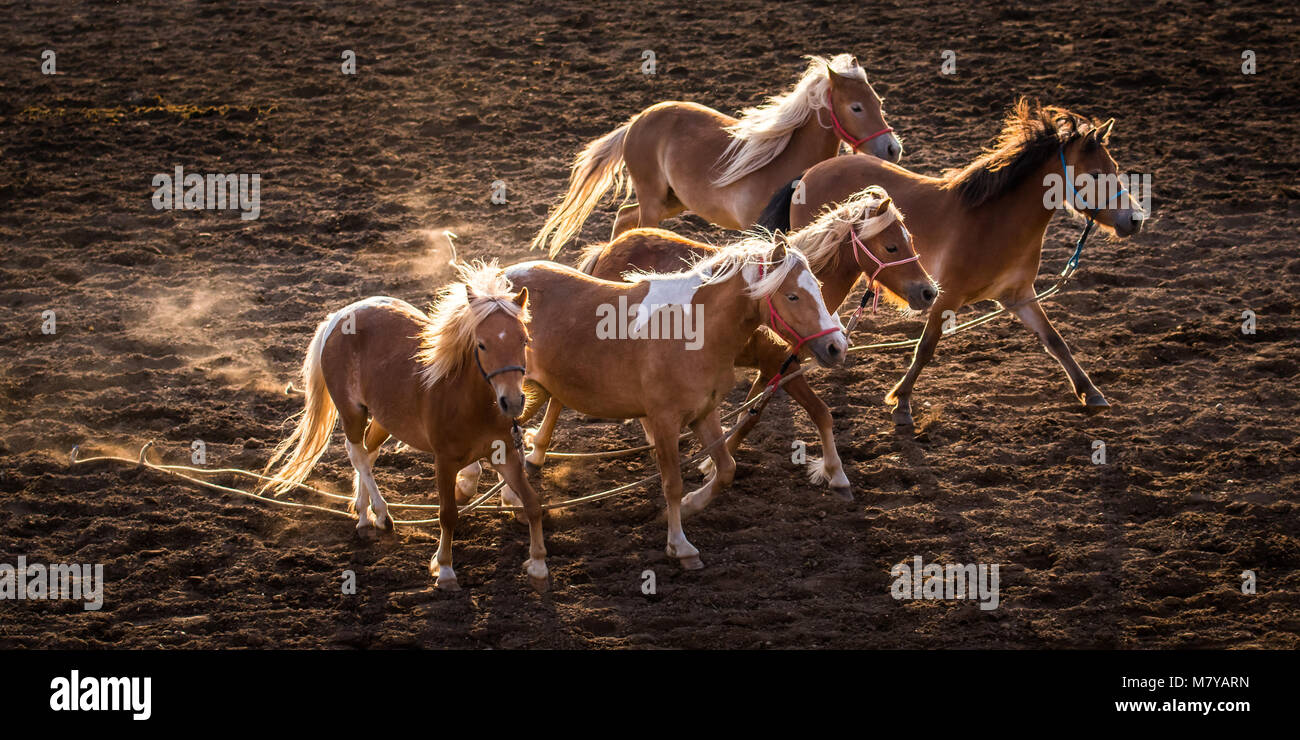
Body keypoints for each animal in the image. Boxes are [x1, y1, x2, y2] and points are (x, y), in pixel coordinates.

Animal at [260, 261, 547, 592]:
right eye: (482, 344)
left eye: (524, 340)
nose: (512, 402)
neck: (466, 399)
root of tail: (340, 315)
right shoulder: (444, 461)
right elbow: (448, 514)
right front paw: (444, 569)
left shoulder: (505, 455)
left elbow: (532, 503)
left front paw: (538, 565)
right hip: (352, 412)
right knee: (357, 453)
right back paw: (381, 515)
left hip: (385, 418)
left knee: (367, 454)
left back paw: (363, 515)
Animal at [458, 237, 846, 570]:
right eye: (793, 296)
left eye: (818, 287)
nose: (836, 347)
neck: (696, 327)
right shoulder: (665, 420)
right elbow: (671, 483)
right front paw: (680, 545)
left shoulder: (704, 413)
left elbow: (726, 469)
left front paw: (691, 505)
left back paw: (511, 498)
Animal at [523, 187, 936, 501]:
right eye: (892, 246)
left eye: (910, 240)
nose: (929, 292)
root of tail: (611, 247)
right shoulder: (779, 366)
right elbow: (818, 413)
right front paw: (836, 474)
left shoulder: (775, 369)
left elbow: (748, 415)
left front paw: (711, 461)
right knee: (559, 395)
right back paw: (538, 451)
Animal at [531, 53, 902, 256]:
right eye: (856, 107)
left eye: (878, 101)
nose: (892, 149)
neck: (785, 166)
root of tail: (638, 120)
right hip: (654, 200)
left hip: (673, 200)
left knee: (623, 216)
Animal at [759, 98, 1146, 426]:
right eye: (1094, 174)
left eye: (1114, 168)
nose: (1135, 220)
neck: (995, 221)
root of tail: (808, 174)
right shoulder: (946, 296)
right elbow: (925, 348)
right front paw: (902, 403)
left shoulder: (1019, 296)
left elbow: (1055, 340)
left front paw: (1091, 392)